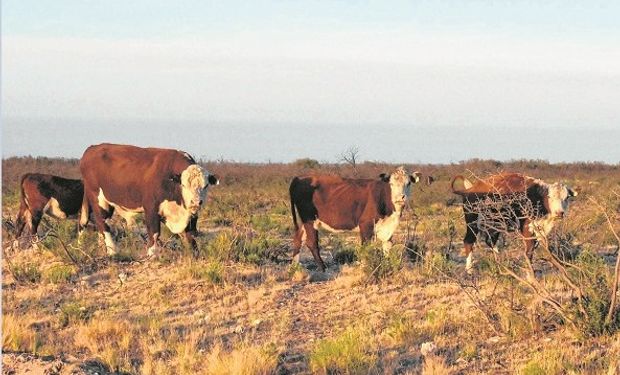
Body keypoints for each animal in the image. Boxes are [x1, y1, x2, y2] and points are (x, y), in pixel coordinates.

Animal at [78, 142, 218, 258]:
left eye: (206, 186)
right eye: (183, 185)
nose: (196, 202)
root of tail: (92, 148)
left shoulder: (188, 215)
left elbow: (190, 235)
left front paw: (195, 253)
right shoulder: (151, 209)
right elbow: (154, 232)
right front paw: (152, 253)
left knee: (88, 223)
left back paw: (95, 247)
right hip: (98, 198)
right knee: (102, 223)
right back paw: (112, 250)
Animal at [288, 167, 418, 270]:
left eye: (408, 183)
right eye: (391, 184)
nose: (400, 197)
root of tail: (299, 178)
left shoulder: (387, 228)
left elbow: (387, 247)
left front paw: (388, 265)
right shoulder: (366, 224)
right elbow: (366, 247)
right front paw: (365, 266)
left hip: (303, 221)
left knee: (298, 238)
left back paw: (295, 267)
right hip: (309, 220)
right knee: (312, 242)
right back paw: (323, 268)